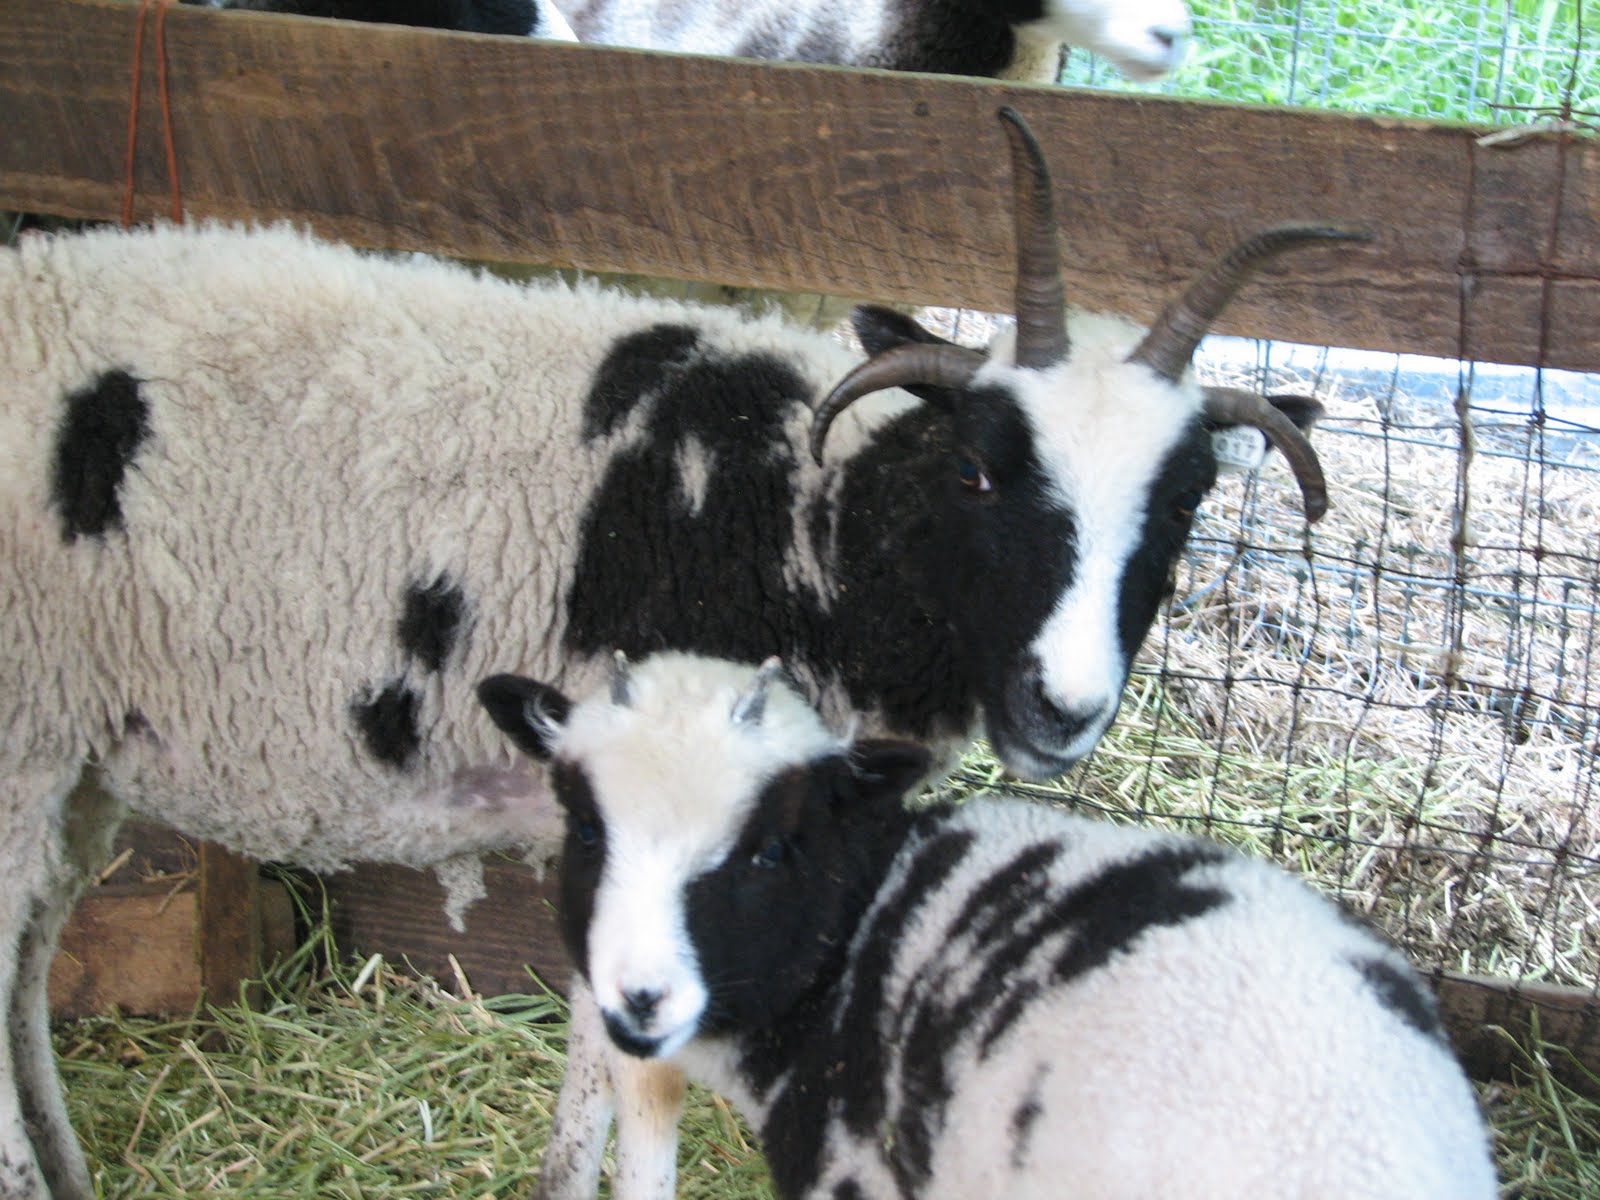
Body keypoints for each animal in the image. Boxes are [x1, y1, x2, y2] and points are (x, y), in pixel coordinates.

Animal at [1, 105, 1355, 1197]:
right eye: (976, 470)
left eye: (1183, 506)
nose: (1060, 708)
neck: (815, 524)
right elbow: (631, 1093)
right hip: (16, 740)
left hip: (73, 761)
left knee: (23, 975)